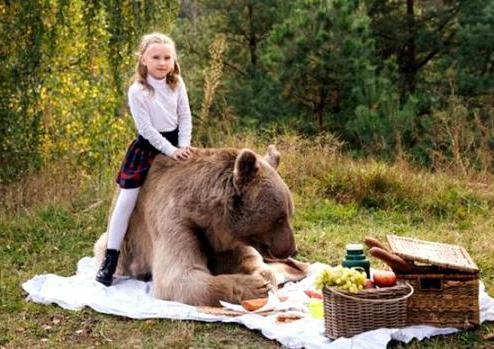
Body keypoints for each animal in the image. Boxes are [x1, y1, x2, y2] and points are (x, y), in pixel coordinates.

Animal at [96, 144, 298, 304]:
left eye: (289, 213)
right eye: (280, 218)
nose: (291, 250)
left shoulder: (225, 238)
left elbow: (247, 258)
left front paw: (264, 277)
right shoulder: (175, 221)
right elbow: (179, 276)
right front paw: (256, 286)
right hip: (127, 243)